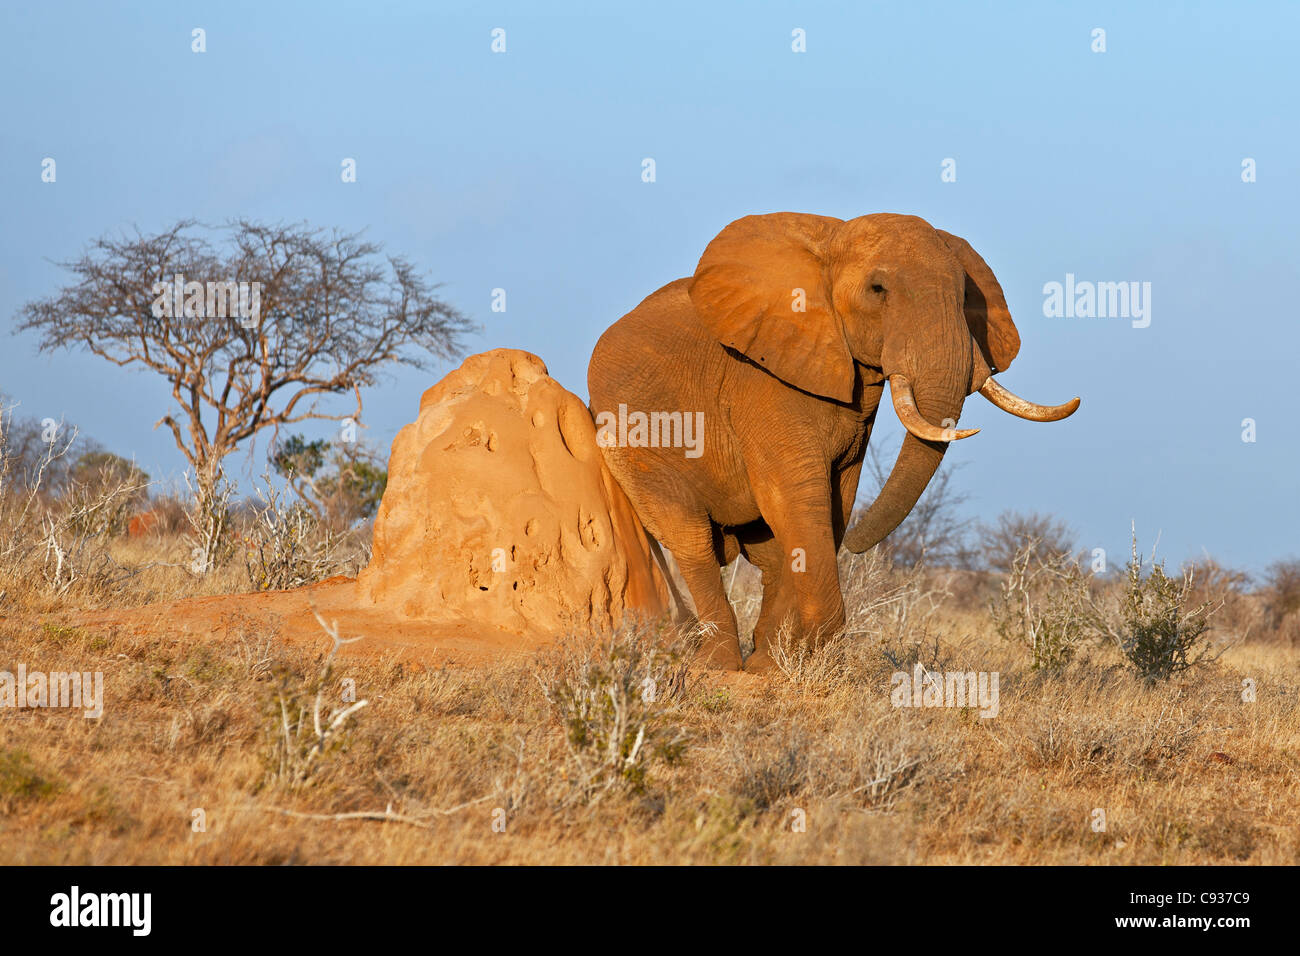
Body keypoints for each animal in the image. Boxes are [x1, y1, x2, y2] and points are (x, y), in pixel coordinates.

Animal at [587, 212, 1079, 671]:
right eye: (878, 290)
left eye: (963, 297)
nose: (864, 546)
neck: (832, 238)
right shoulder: (760, 377)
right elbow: (794, 495)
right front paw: (800, 658)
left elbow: (835, 498)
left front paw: (780, 662)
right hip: (632, 446)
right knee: (691, 538)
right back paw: (720, 664)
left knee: (766, 554)